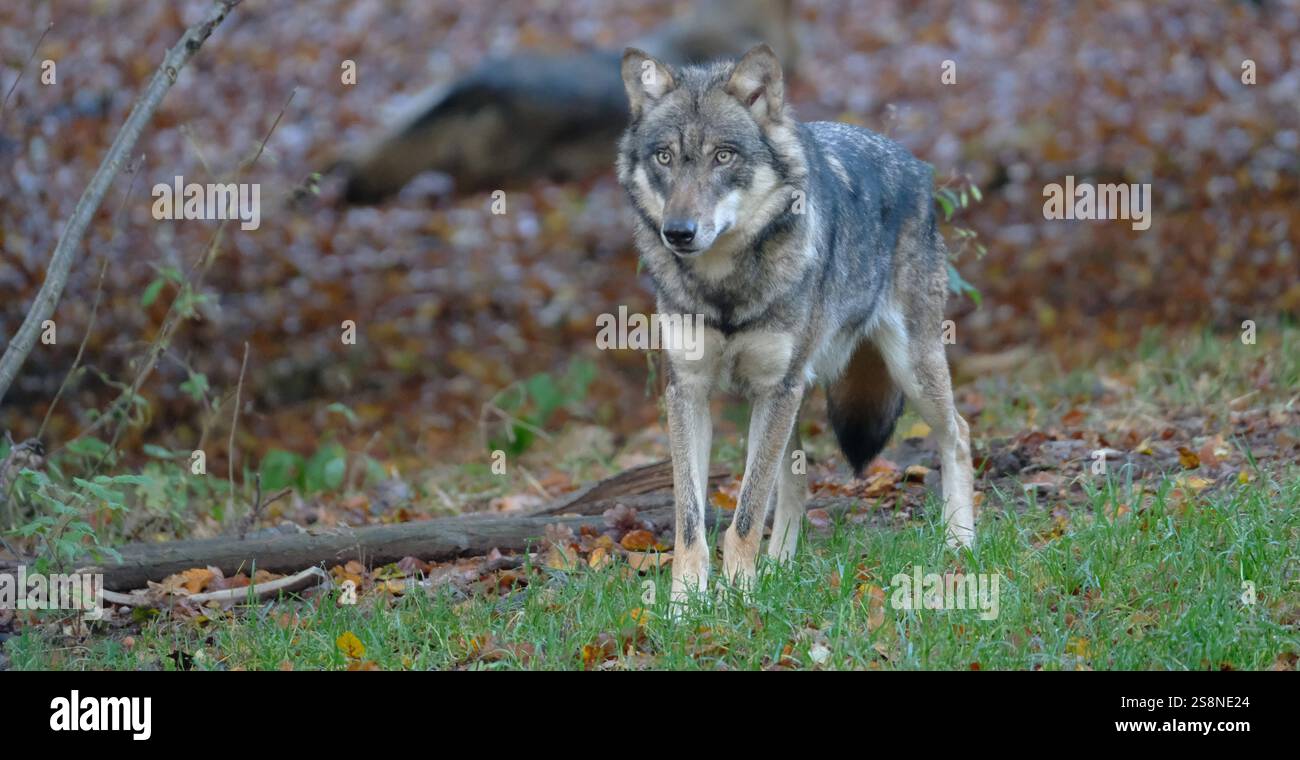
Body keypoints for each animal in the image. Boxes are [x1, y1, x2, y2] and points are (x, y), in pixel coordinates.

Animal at [616, 44, 976, 605]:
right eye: (664, 157)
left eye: (724, 156)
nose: (678, 232)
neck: (725, 288)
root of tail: (915, 163)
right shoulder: (688, 391)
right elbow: (691, 521)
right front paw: (686, 605)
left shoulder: (773, 387)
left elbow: (743, 517)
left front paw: (739, 600)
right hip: (794, 393)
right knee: (796, 478)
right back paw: (780, 568)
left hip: (907, 368)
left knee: (959, 432)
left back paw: (960, 543)